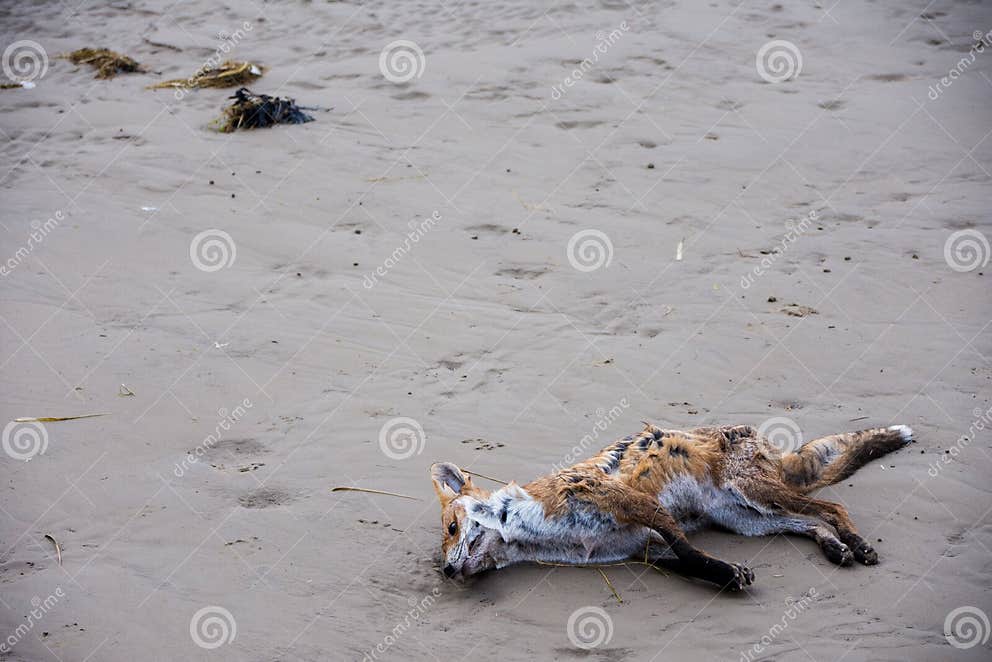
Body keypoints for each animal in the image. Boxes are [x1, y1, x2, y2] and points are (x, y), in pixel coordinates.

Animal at [430, 422, 913, 591]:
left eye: (452, 530)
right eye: (442, 550)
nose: (448, 572)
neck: (546, 536)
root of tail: (763, 441)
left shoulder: (638, 505)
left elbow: (689, 551)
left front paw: (731, 574)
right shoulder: (641, 547)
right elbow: (691, 562)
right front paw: (726, 576)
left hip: (757, 495)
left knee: (831, 509)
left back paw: (856, 544)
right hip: (748, 521)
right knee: (811, 524)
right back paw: (836, 548)